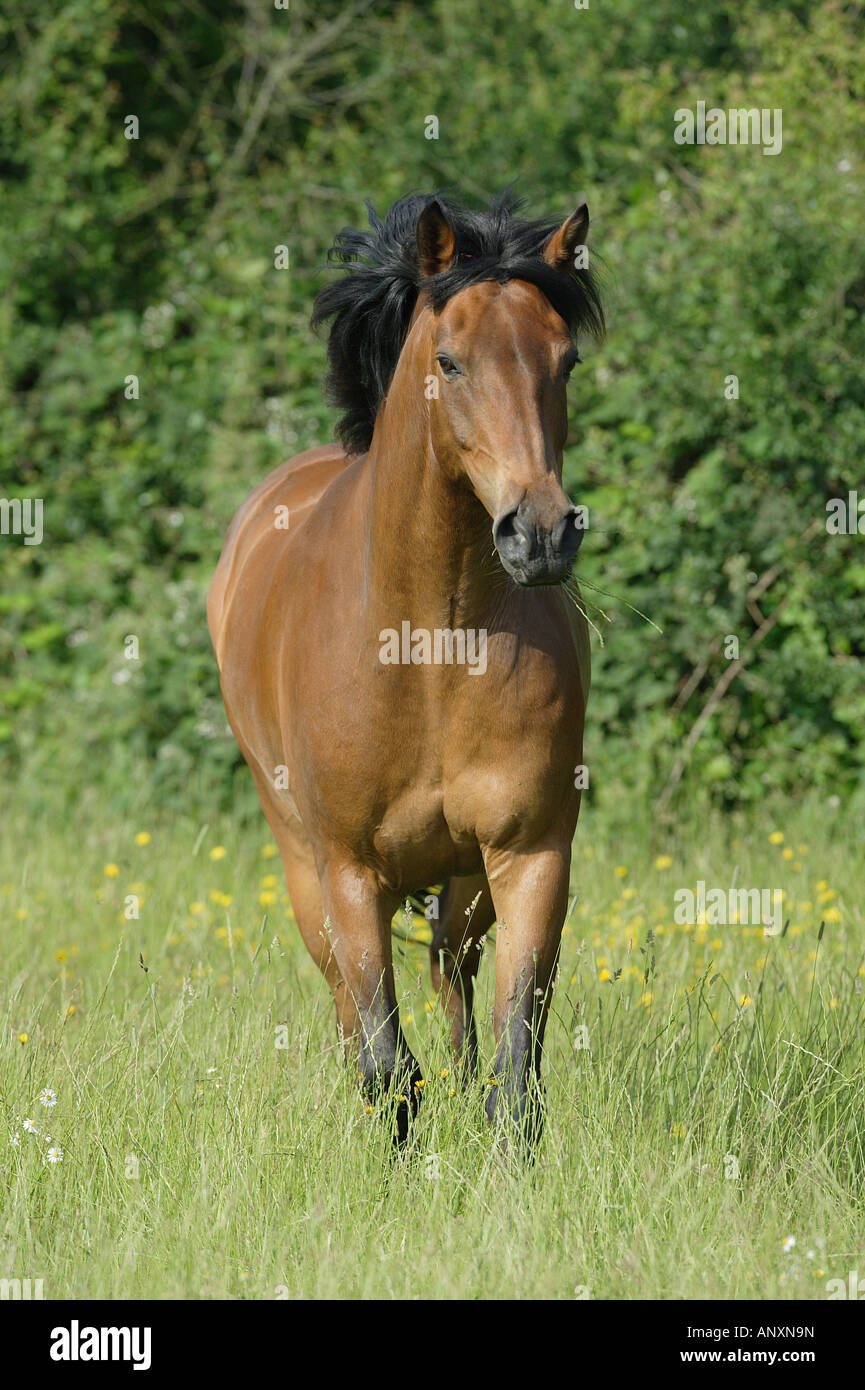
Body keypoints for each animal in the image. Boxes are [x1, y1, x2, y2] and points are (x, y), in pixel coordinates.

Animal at [208, 189, 603, 1148]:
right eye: (449, 362)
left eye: (566, 360)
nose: (541, 532)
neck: (428, 653)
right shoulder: (349, 873)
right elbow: (387, 1065)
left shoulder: (529, 857)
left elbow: (513, 1073)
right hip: (306, 869)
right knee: (352, 1010)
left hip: (463, 886)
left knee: (451, 981)